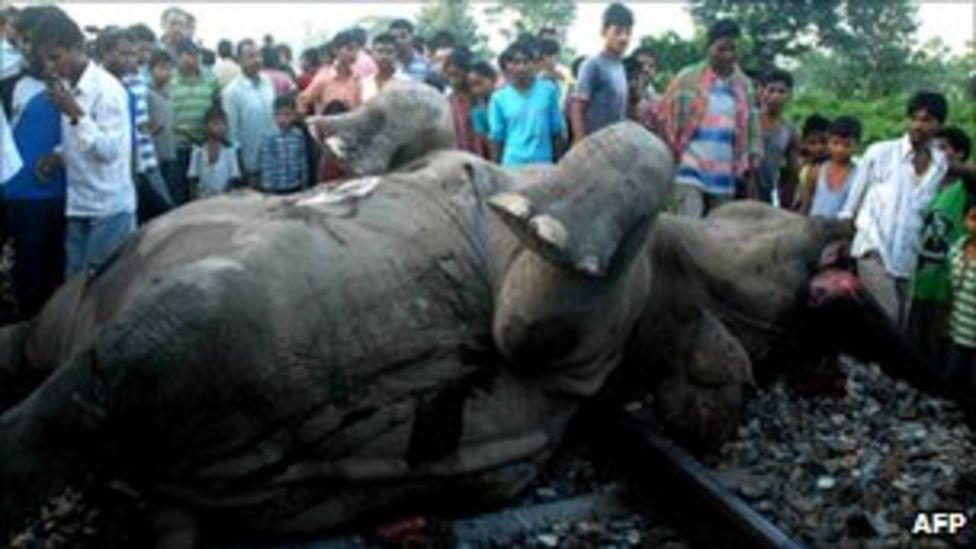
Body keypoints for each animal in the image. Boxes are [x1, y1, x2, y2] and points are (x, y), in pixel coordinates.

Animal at [0, 83, 911, 546]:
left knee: (120, 369)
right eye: (795, 254)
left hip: (215, 349)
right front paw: (340, 133)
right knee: (58, 349)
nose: (838, 230)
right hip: (88, 306)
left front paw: (540, 221)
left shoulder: (585, 342)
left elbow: (528, 321)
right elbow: (429, 110)